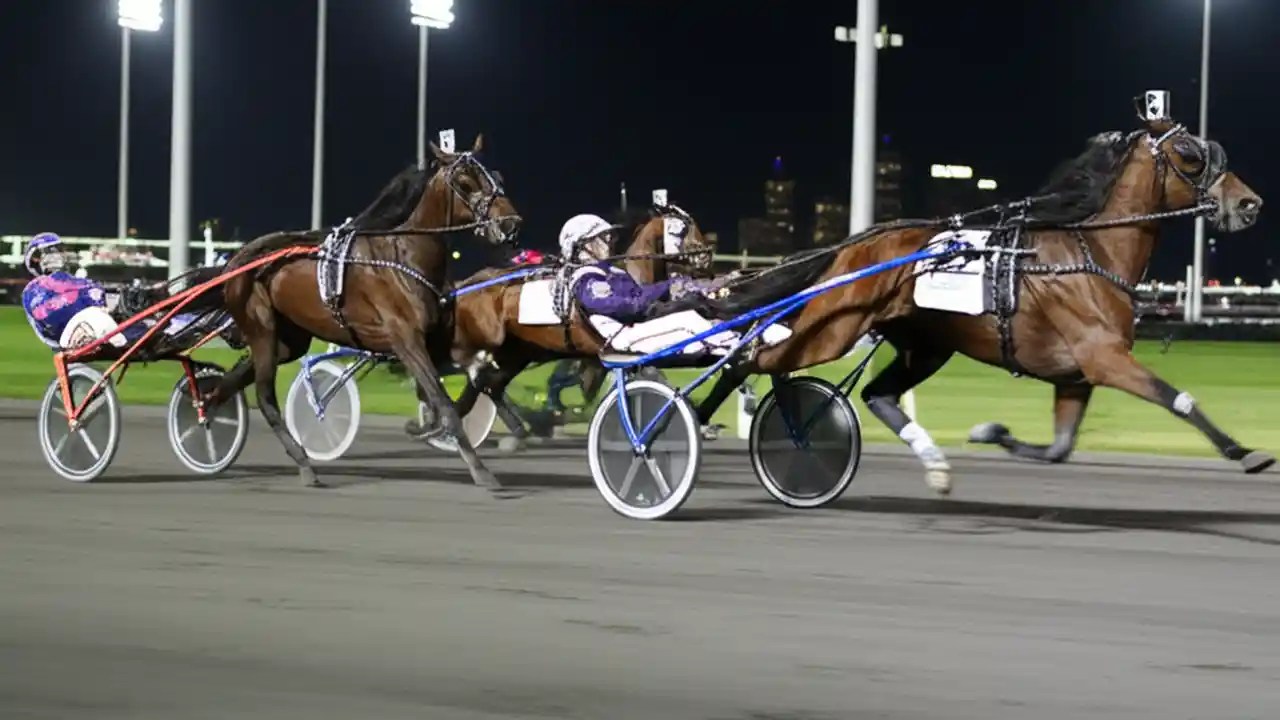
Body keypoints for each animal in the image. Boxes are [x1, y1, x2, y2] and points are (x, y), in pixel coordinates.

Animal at [207, 134, 523, 490]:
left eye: (495, 176)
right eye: (466, 182)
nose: (511, 224)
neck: (406, 256)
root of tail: (238, 259)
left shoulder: (438, 343)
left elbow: (470, 383)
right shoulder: (406, 341)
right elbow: (444, 403)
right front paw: (481, 471)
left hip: (288, 341)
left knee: (235, 379)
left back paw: (209, 406)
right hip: (261, 330)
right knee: (264, 398)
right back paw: (304, 464)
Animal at [677, 101, 1267, 494]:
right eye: (1190, 155)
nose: (1250, 204)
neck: (1091, 250)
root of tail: (858, 243)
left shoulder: (1076, 375)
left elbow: (1059, 450)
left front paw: (991, 431)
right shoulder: (1104, 358)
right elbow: (1178, 398)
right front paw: (1245, 451)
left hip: (927, 345)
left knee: (874, 394)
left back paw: (933, 464)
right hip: (833, 329)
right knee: (750, 359)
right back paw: (692, 422)